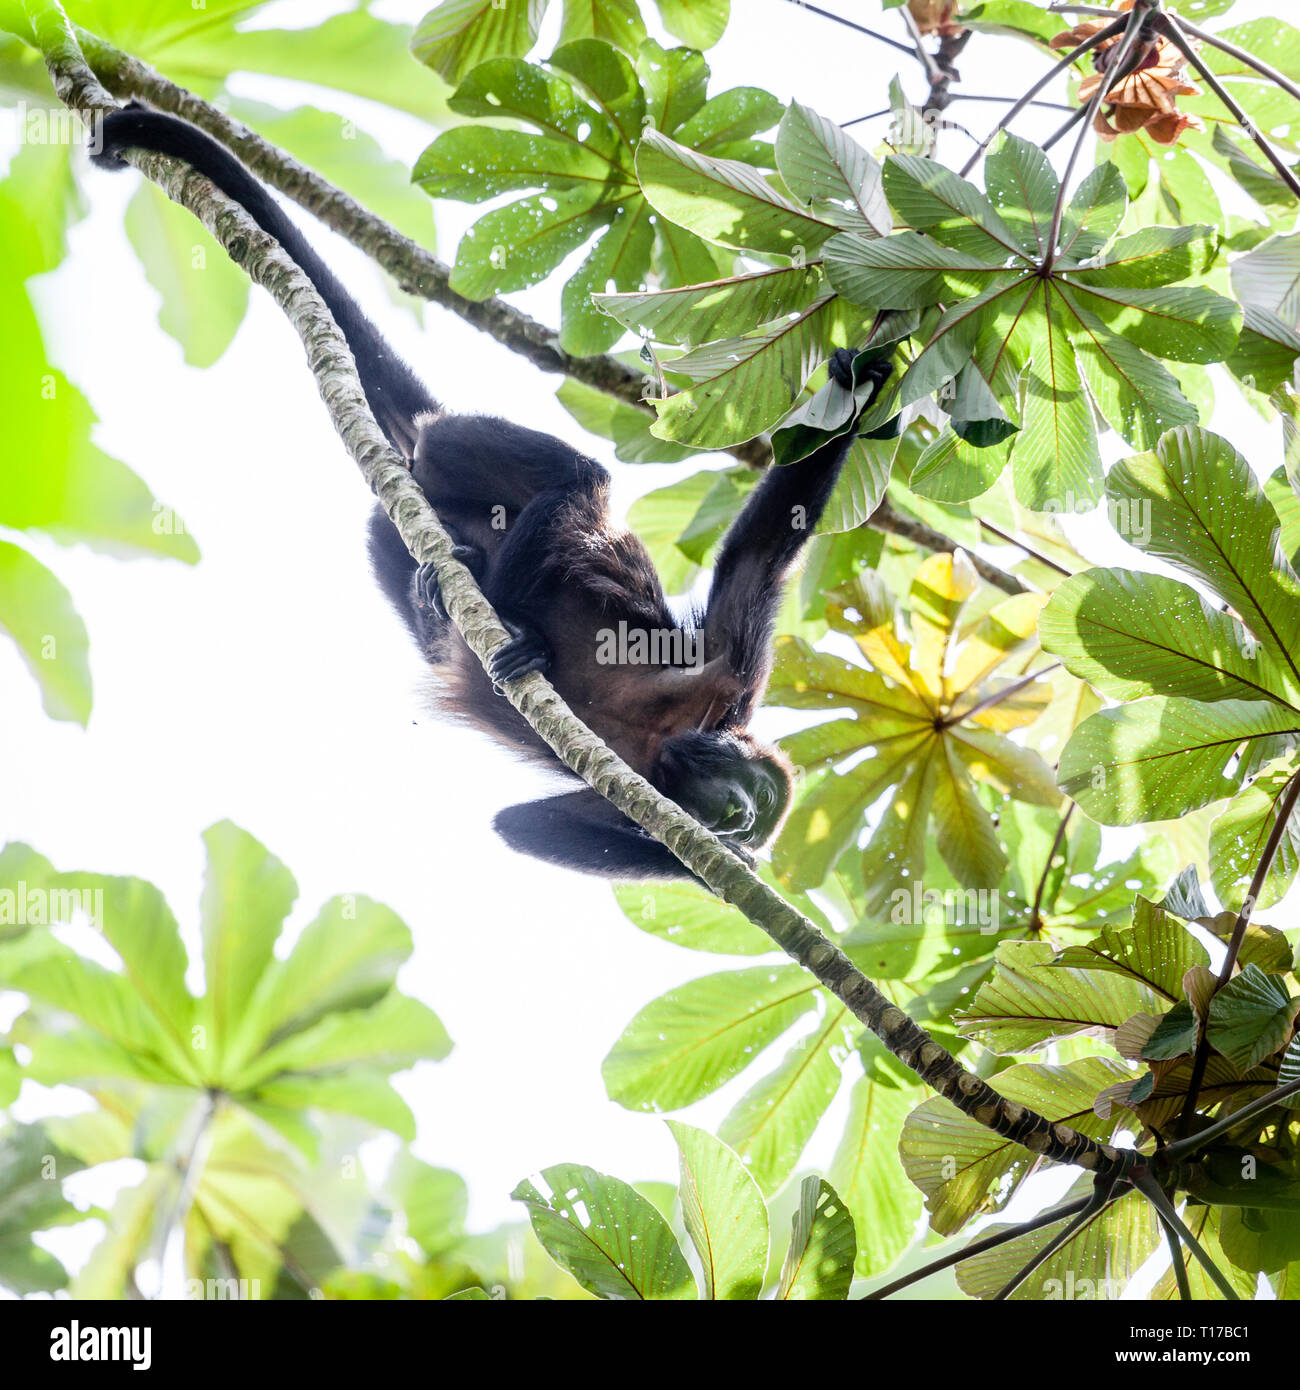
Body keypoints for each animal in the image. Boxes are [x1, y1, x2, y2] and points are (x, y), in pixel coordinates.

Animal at [92, 104, 893, 880]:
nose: (739, 822)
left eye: (756, 820)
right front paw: (860, 377)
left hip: (399, 518)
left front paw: (727, 867)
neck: (669, 738)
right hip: (462, 444)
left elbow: (521, 828)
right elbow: (762, 549)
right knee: (577, 479)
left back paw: (447, 590)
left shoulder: (639, 791)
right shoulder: (729, 675)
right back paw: (501, 613)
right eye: (755, 796)